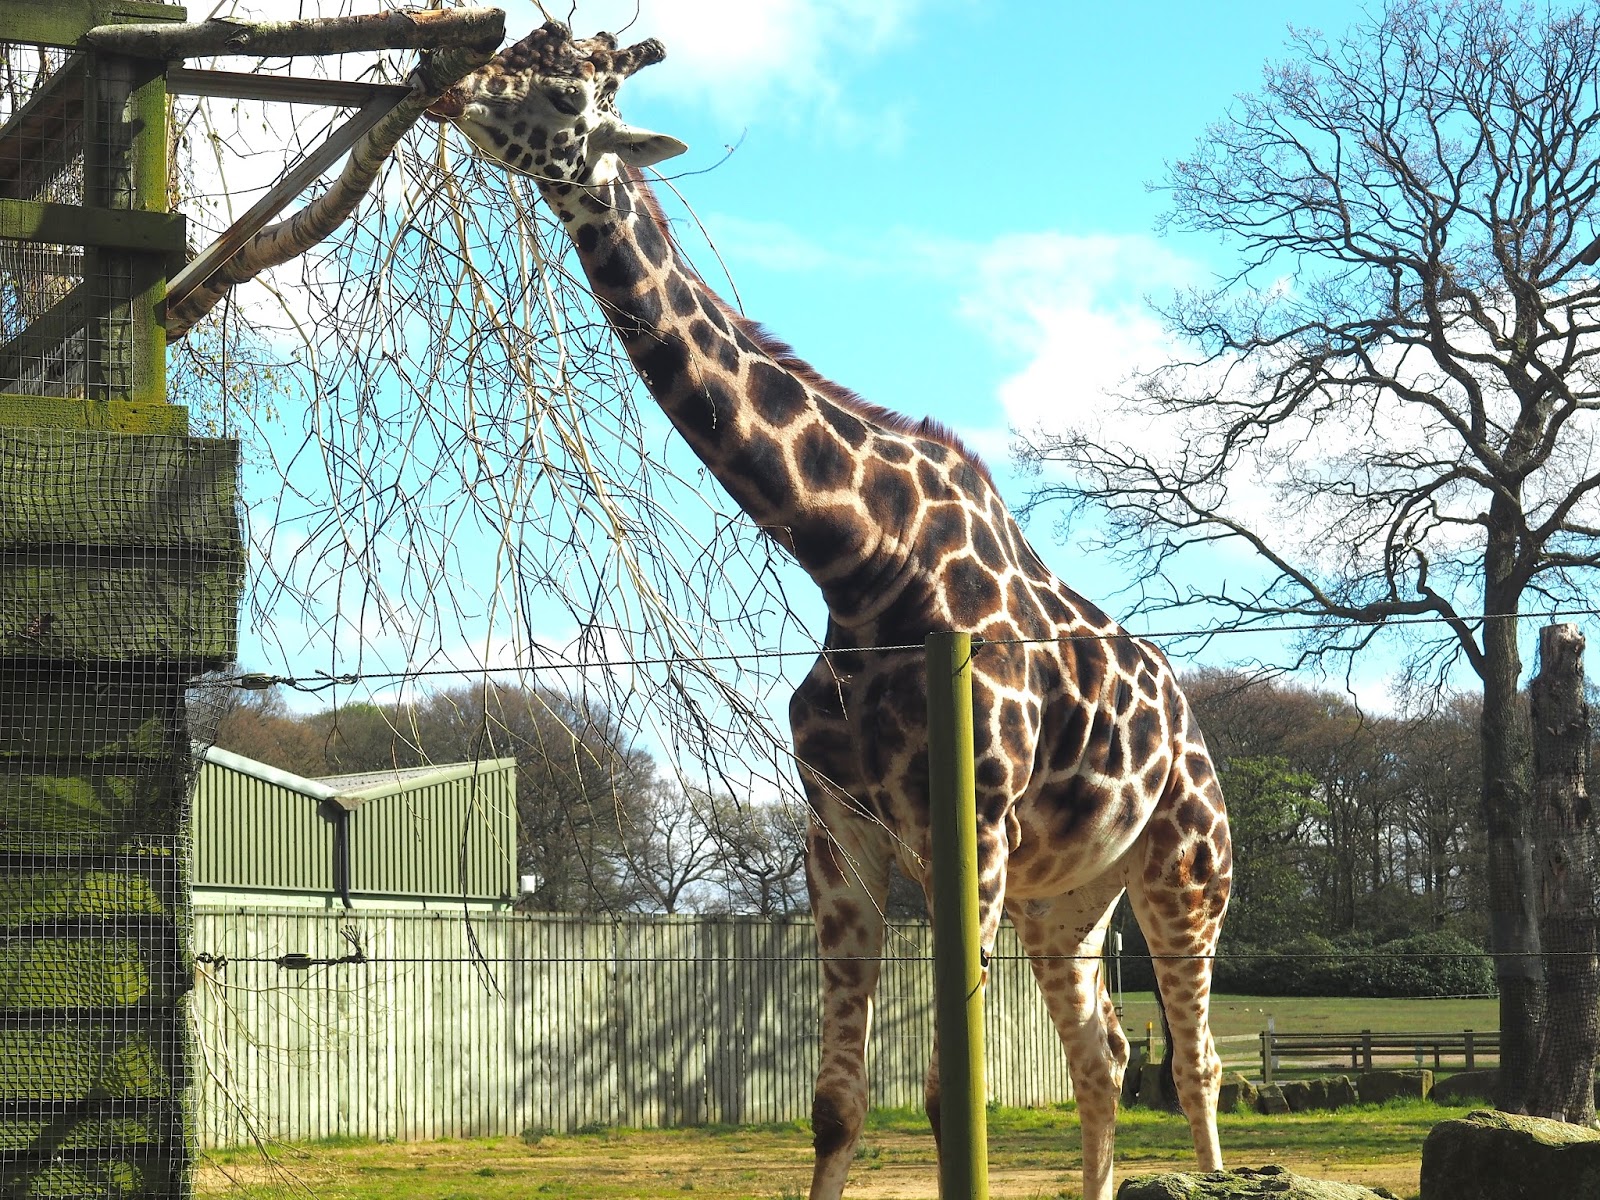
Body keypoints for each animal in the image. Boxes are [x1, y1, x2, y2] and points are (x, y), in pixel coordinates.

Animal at [424, 24, 1232, 1200]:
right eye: (527, 46)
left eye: (570, 91)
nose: (446, 83)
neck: (858, 562)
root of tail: (1190, 721)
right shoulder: (837, 833)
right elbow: (835, 1104)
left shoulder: (968, 830)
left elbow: (947, 1101)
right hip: (1067, 905)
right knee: (1108, 1058)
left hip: (1184, 872)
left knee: (1198, 1060)